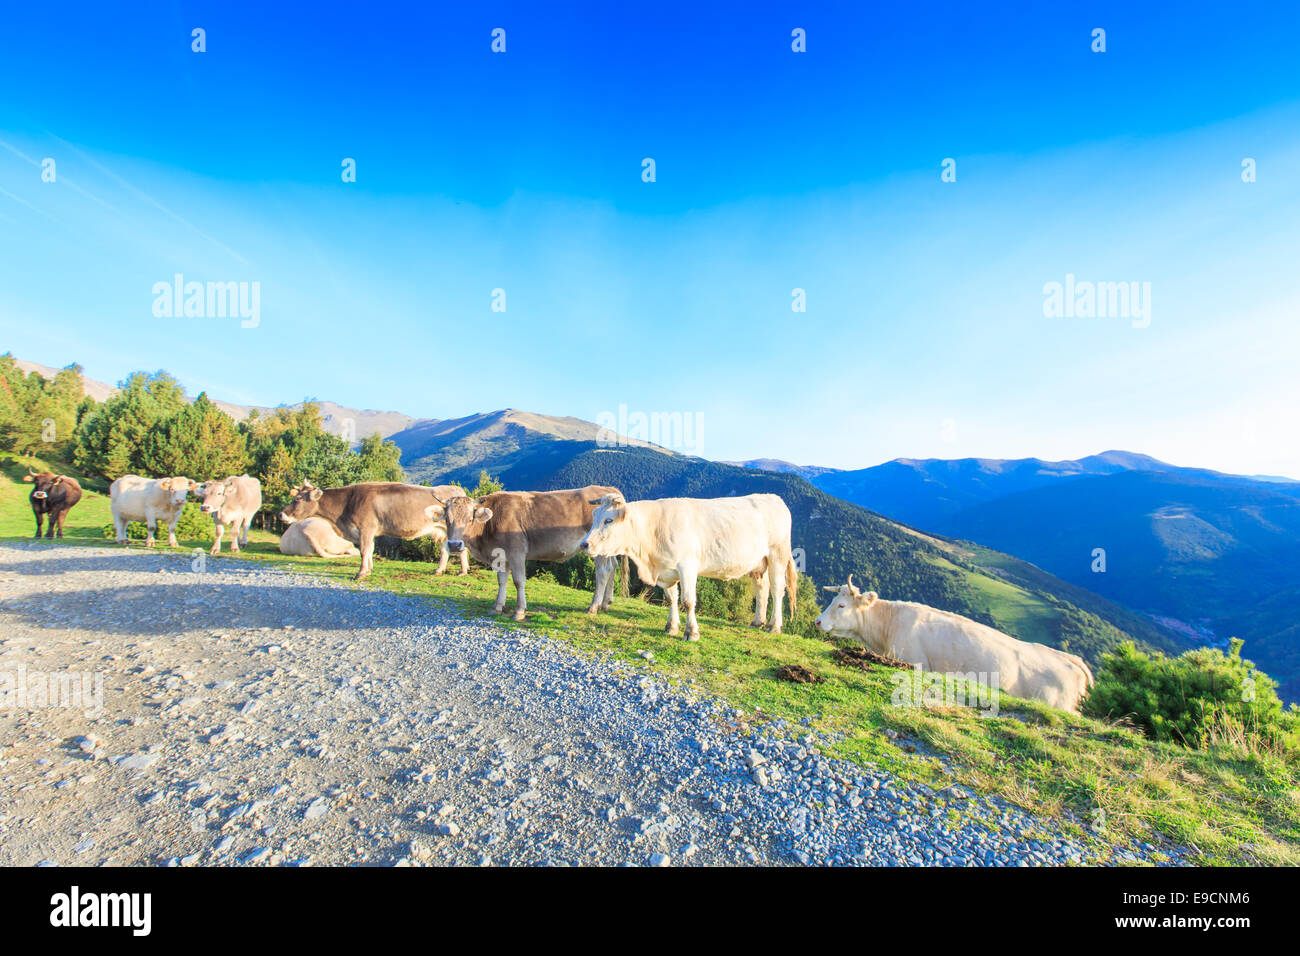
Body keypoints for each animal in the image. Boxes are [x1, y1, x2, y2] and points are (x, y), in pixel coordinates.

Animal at [278, 481, 468, 580]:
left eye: (296, 499)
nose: (281, 514)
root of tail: (457, 490)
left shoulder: (365, 528)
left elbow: (364, 550)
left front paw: (361, 573)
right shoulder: (369, 532)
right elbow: (369, 550)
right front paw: (369, 569)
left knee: (461, 549)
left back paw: (462, 571)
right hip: (444, 531)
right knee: (446, 549)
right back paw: (441, 570)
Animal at [427, 485, 624, 622]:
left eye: (470, 519)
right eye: (447, 519)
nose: (454, 545)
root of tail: (608, 490)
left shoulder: (516, 552)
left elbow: (518, 581)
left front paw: (519, 611)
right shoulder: (500, 555)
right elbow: (502, 580)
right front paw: (497, 606)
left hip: (598, 548)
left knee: (603, 572)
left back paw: (593, 607)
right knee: (613, 567)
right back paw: (606, 603)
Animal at [577, 492, 797, 641]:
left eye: (608, 520)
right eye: (594, 517)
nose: (584, 544)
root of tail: (773, 497)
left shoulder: (688, 566)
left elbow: (688, 601)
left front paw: (691, 632)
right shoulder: (667, 570)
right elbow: (671, 598)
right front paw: (671, 627)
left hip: (778, 554)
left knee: (777, 590)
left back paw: (774, 626)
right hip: (759, 562)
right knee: (762, 589)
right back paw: (757, 622)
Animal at [814, 576, 1095, 713]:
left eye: (842, 605)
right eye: (833, 601)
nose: (817, 621)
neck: (885, 628)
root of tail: (1073, 660)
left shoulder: (915, 662)